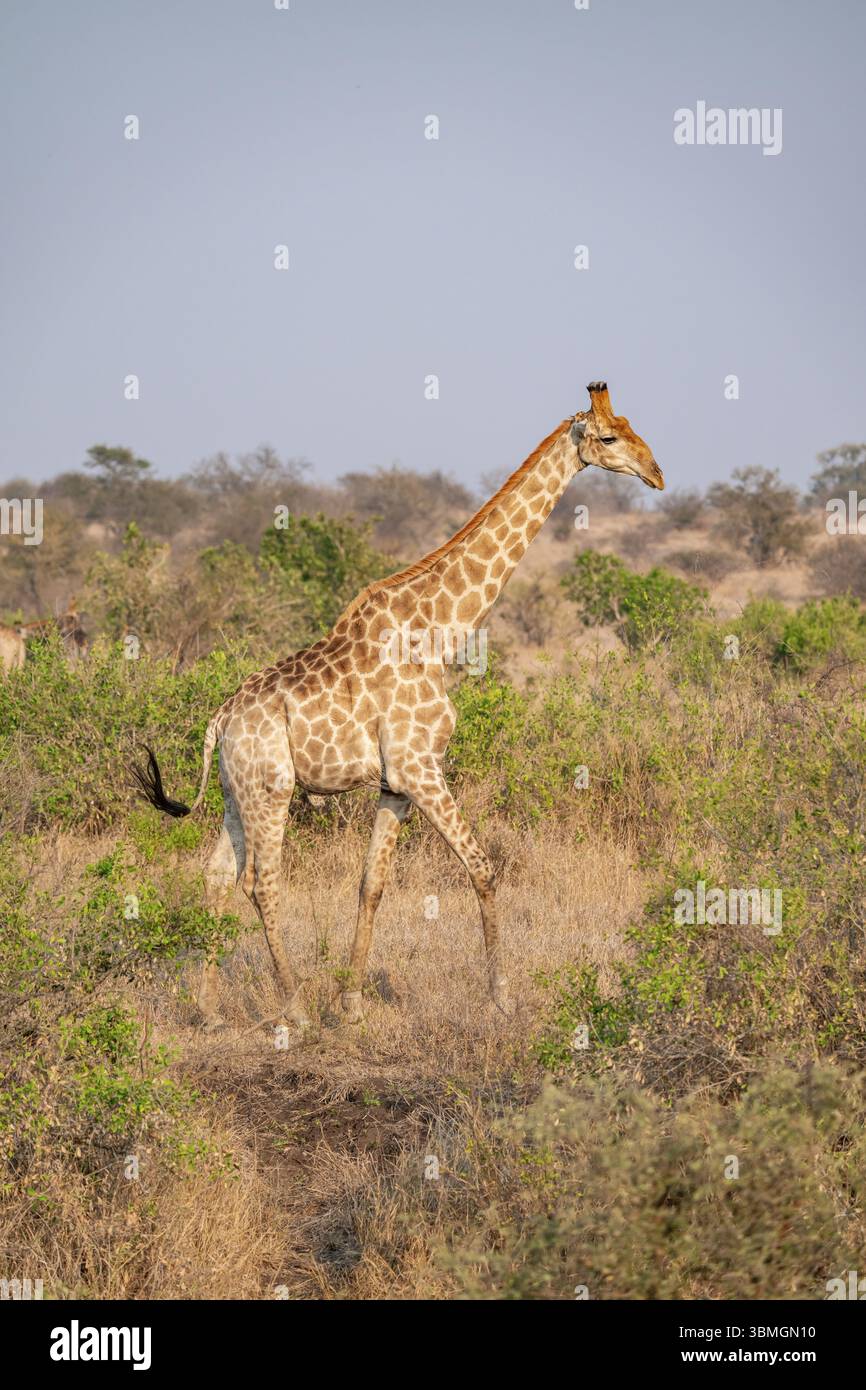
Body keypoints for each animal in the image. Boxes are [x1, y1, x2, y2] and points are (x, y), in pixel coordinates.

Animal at [133, 382, 664, 1031]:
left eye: (633, 425)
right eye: (609, 437)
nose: (657, 473)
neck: (441, 630)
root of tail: (218, 721)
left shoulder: (395, 783)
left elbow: (371, 884)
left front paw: (352, 1004)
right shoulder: (420, 767)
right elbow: (483, 868)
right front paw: (501, 998)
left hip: (239, 790)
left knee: (216, 877)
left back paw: (209, 1011)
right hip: (271, 787)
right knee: (261, 882)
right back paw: (294, 1008)